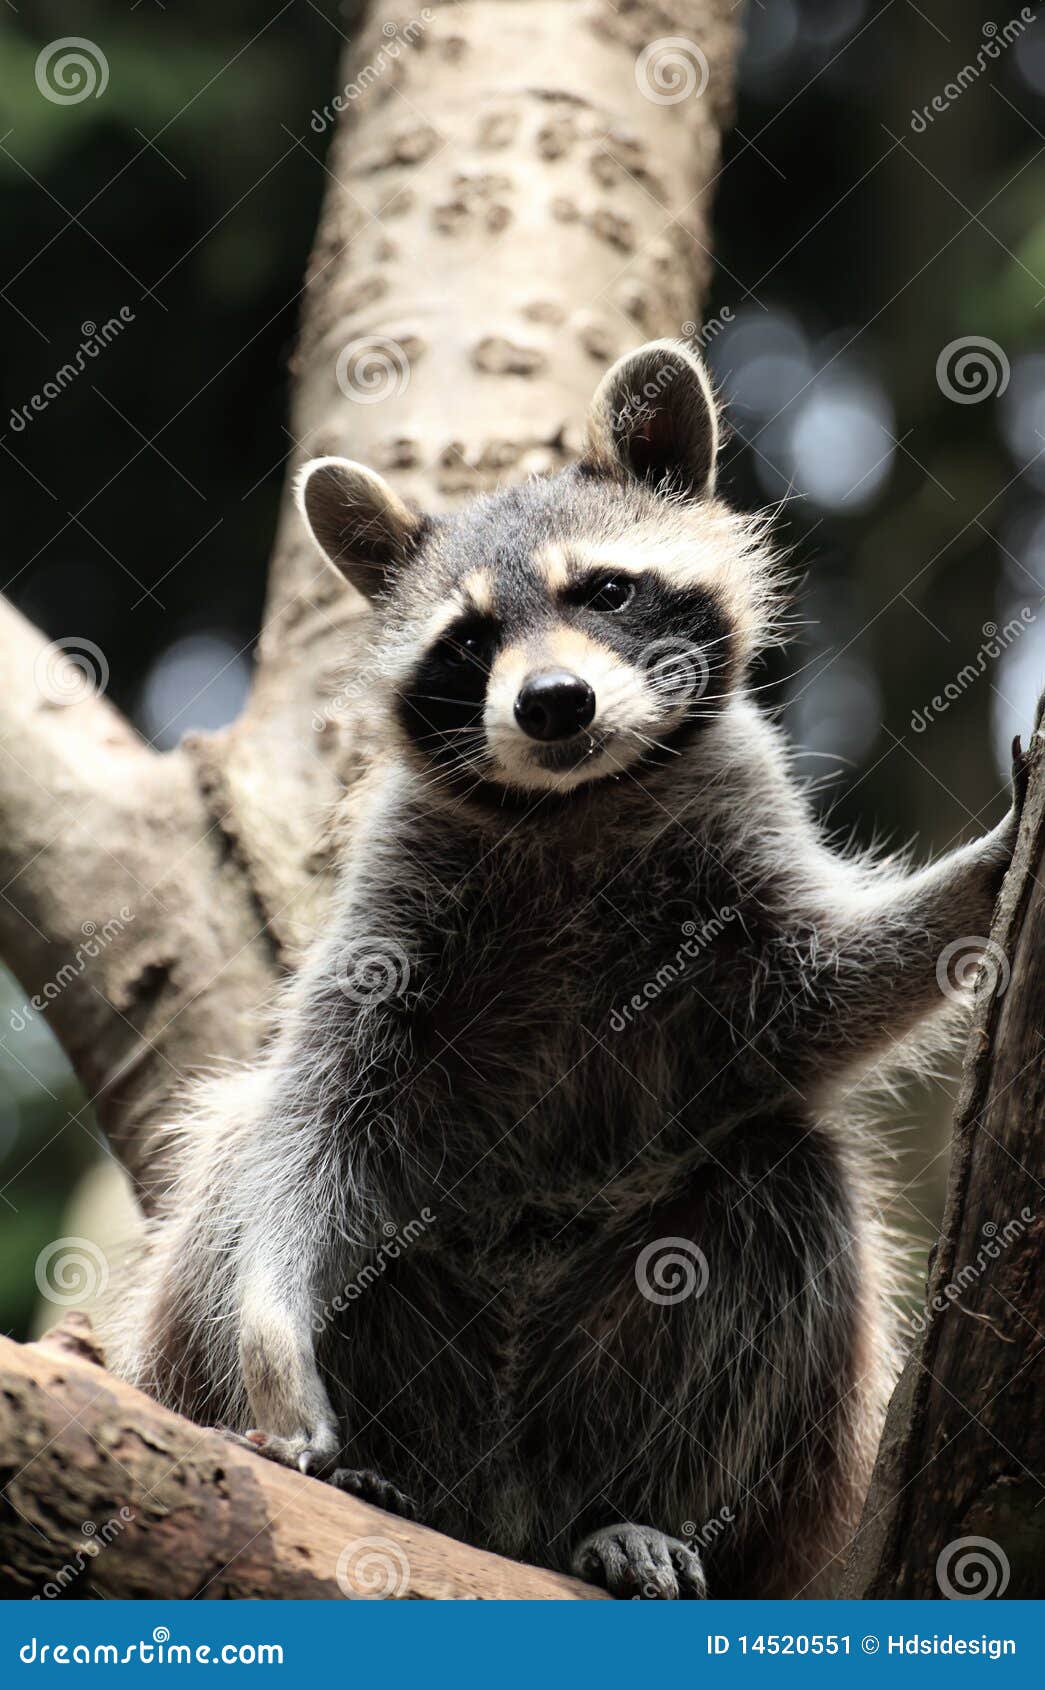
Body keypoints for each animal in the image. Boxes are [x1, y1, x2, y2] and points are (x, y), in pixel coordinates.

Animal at [114, 340, 1025, 1599]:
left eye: (605, 592)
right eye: (467, 641)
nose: (552, 704)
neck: (576, 804)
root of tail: (499, 1516)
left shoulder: (733, 844)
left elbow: (820, 994)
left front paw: (985, 870)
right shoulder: (395, 906)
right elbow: (308, 1119)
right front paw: (270, 1331)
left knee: (782, 1189)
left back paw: (637, 1511)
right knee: (244, 1162)